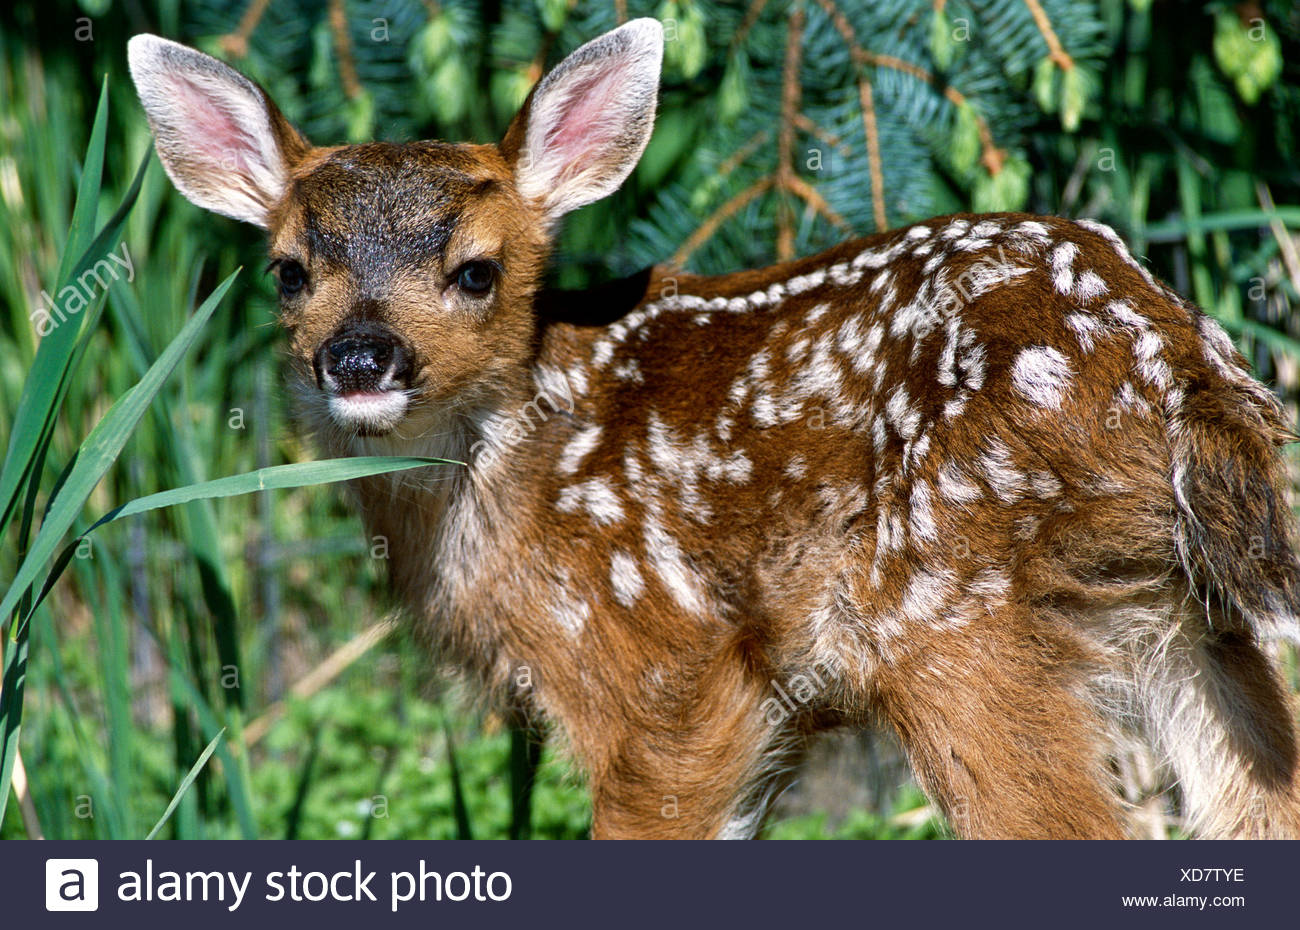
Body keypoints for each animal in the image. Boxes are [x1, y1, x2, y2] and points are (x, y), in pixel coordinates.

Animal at [126, 18, 1300, 839]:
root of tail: (1175, 358)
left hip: (955, 611)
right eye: (289, 270)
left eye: (477, 270)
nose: (360, 359)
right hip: (1180, 612)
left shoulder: (664, 667)